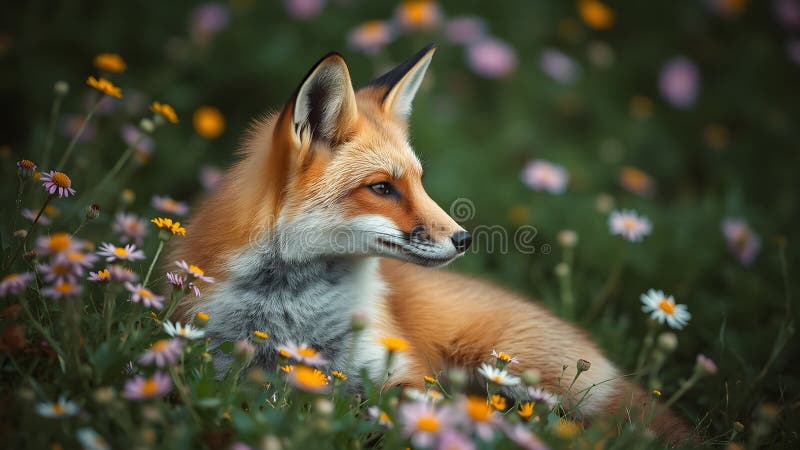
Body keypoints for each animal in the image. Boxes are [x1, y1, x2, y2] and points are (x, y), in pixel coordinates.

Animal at [168, 44, 692, 443]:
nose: (464, 239)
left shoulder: (404, 371)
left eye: (420, 182)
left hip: (510, 365)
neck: (292, 315)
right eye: (382, 188)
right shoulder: (218, 364)